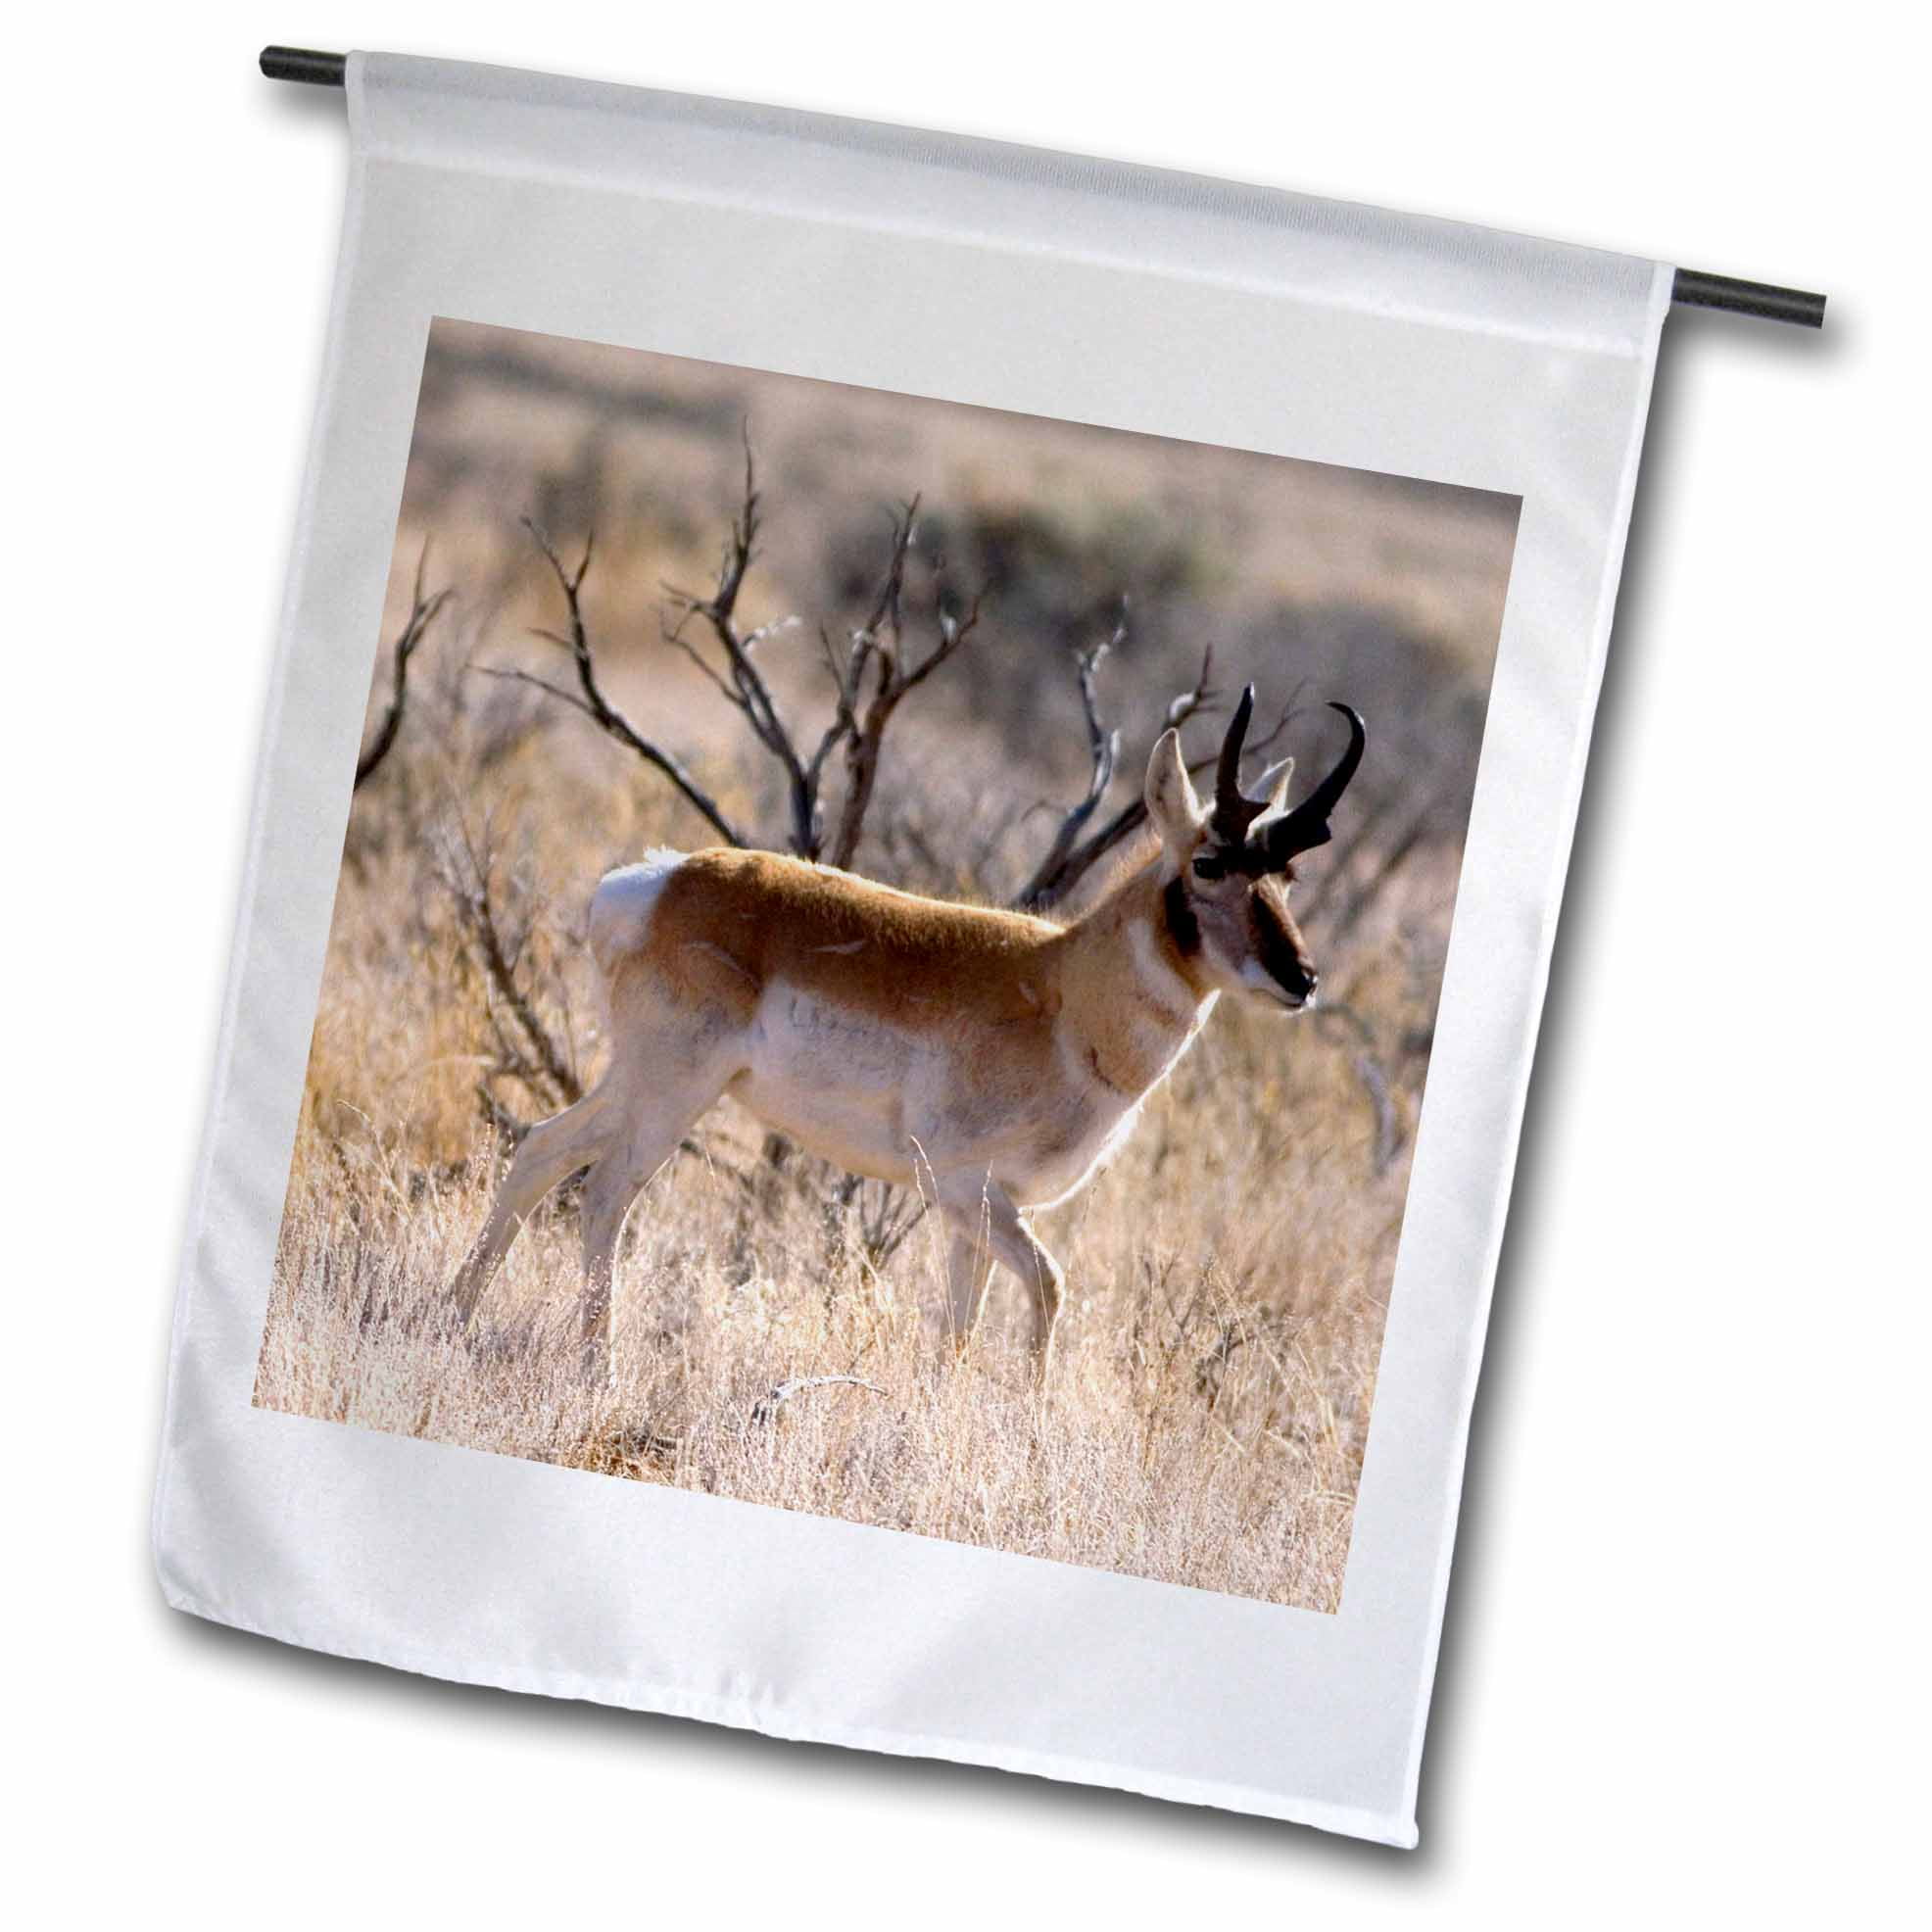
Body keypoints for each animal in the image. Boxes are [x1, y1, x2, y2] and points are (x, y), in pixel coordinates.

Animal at [449, 686, 1364, 1375]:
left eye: (1285, 876)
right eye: (1209, 863)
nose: (1302, 980)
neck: (1062, 989)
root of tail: (657, 882)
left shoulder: (980, 1215)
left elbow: (961, 1329)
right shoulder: (968, 1191)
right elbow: (1050, 1289)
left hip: (640, 1086)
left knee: (541, 1149)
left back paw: (452, 1318)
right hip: (671, 1096)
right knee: (605, 1192)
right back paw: (594, 1370)